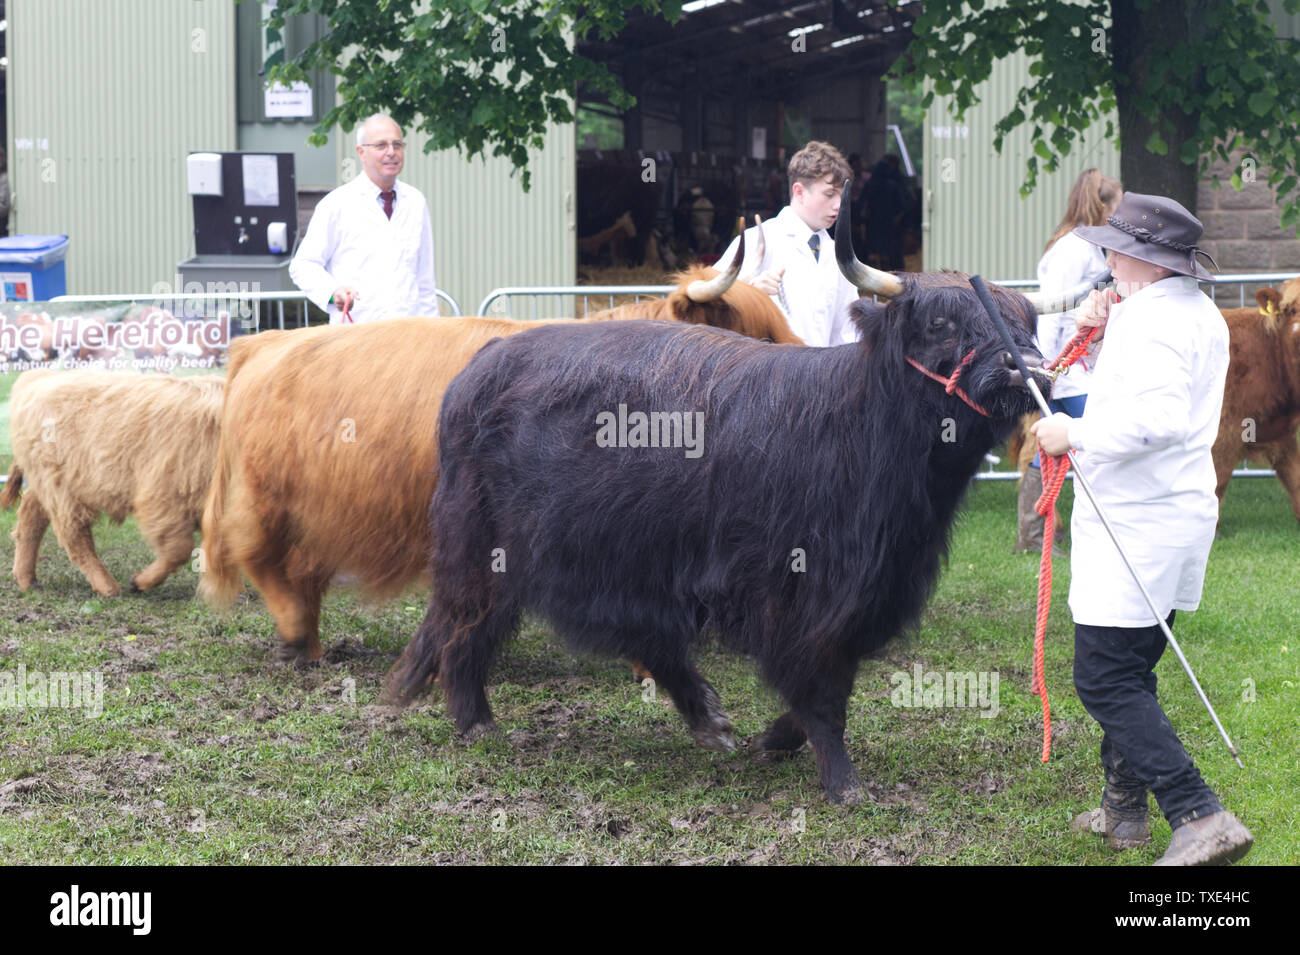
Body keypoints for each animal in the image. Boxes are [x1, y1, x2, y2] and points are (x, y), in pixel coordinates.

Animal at [1, 369, 225, 596]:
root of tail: (37, 376)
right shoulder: (162, 497)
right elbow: (178, 550)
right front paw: (138, 582)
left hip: (50, 482)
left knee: (32, 512)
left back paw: (27, 580)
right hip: (61, 487)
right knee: (74, 535)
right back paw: (108, 587)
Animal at [198, 233, 803, 662]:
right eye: (757, 337)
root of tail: (263, 344)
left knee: (299, 571)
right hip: (270, 499)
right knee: (257, 556)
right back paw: (298, 639)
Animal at [383, 199, 1070, 804]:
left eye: (1026, 321)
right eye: (941, 321)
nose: (1030, 369)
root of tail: (480, 367)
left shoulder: (865, 589)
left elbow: (830, 678)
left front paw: (776, 739)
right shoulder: (796, 589)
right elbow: (822, 687)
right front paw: (843, 782)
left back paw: (704, 721)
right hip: (490, 544)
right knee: (467, 623)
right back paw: (477, 721)